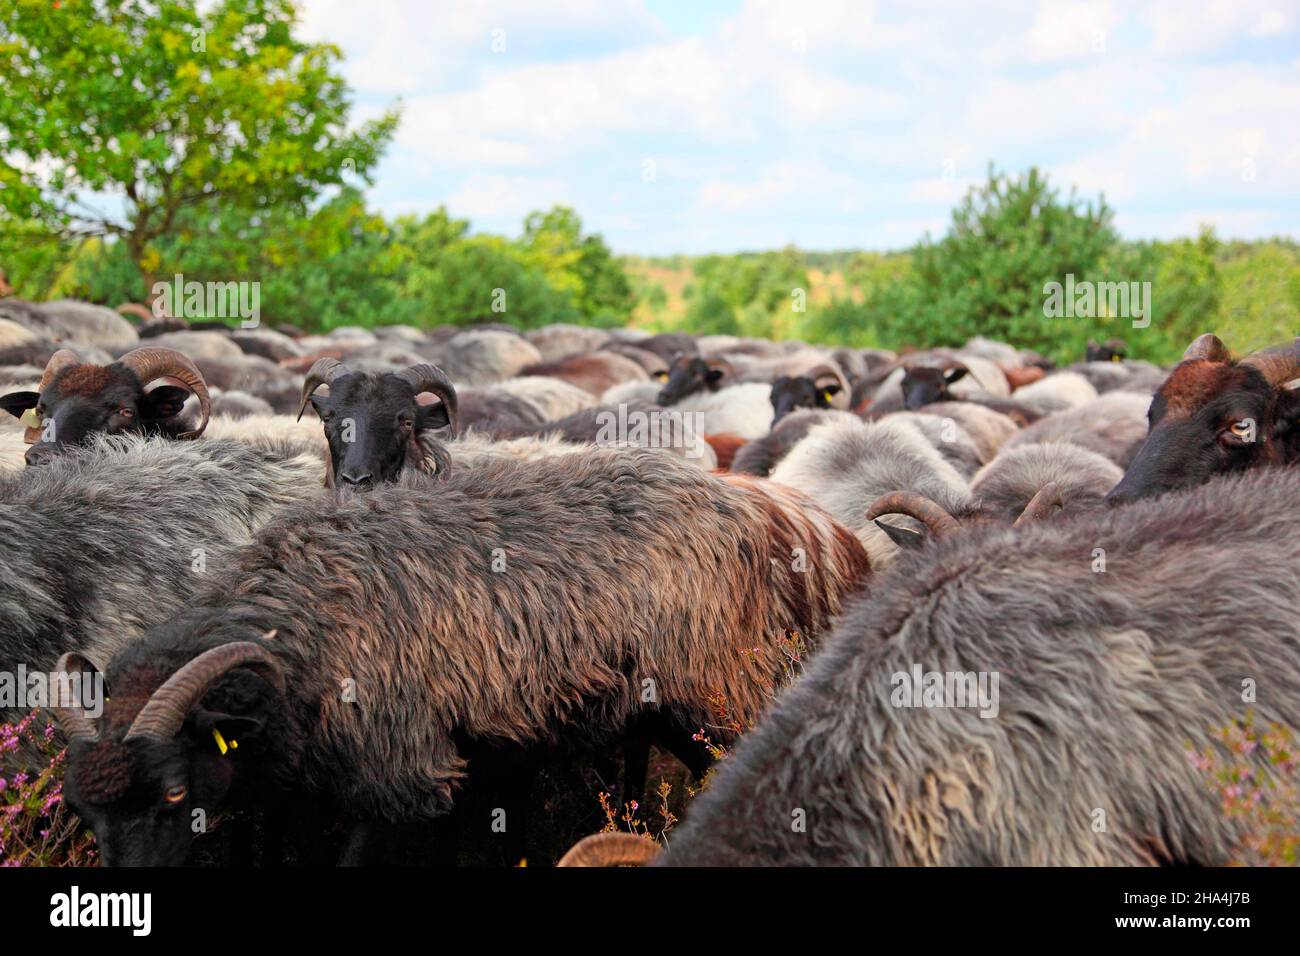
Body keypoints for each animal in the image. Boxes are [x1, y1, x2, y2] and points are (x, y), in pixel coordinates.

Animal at [53, 446, 873, 866]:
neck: (296, 633)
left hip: (725, 693)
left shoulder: (406, 778)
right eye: (85, 813)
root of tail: (787, 514)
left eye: (172, 796)